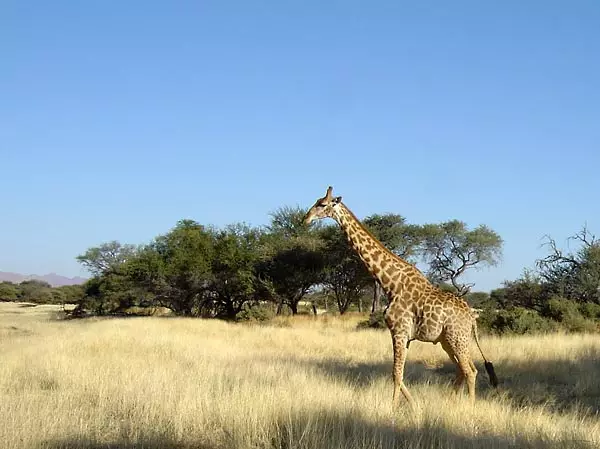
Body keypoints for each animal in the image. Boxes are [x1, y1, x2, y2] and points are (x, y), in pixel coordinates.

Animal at [302, 186, 500, 406]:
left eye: (322, 204)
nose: (305, 219)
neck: (391, 284)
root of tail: (472, 318)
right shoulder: (405, 336)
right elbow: (399, 374)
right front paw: (414, 406)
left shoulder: (398, 331)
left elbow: (395, 374)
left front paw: (393, 409)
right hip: (446, 340)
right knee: (462, 370)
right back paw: (450, 401)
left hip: (457, 338)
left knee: (470, 371)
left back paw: (469, 407)